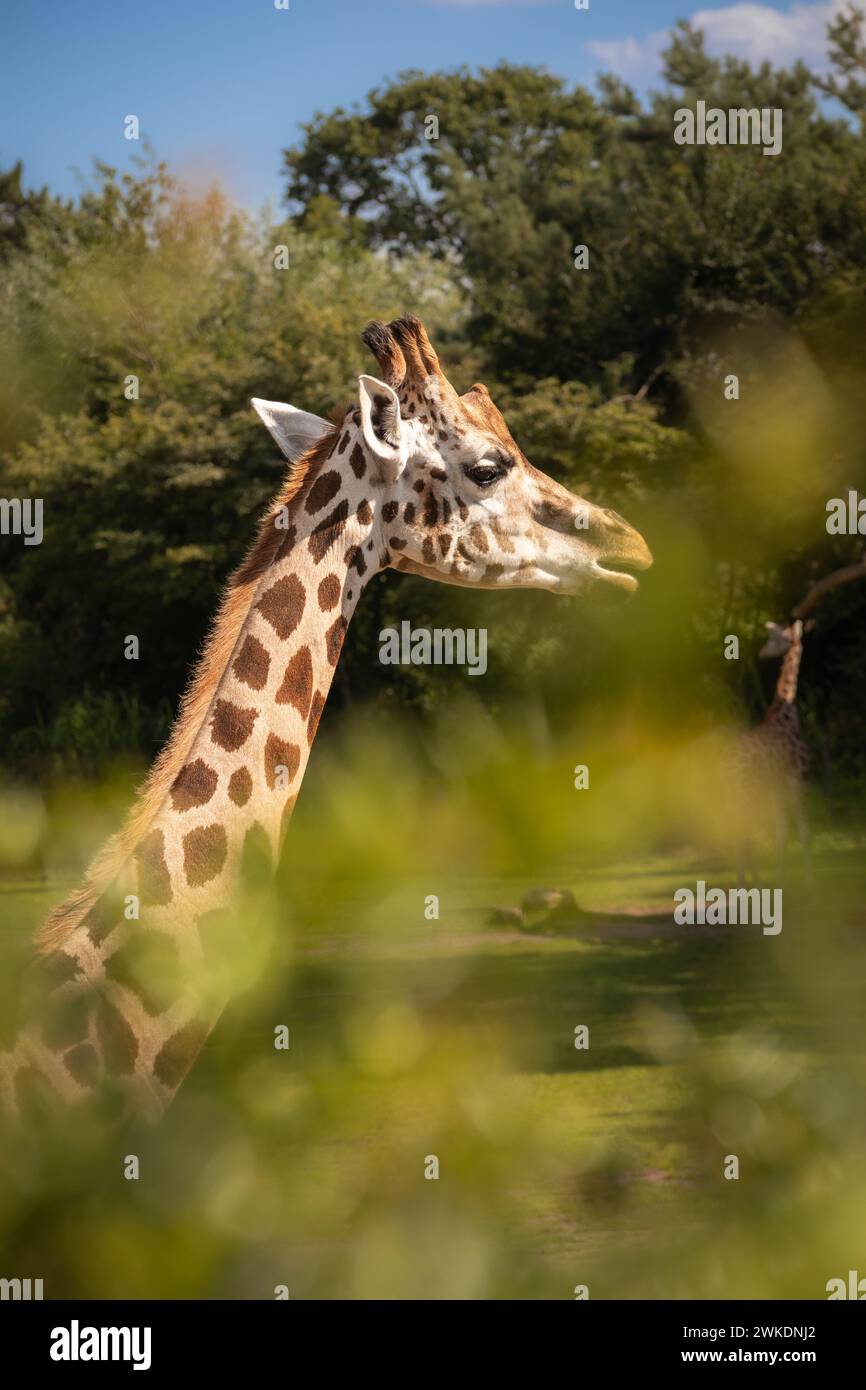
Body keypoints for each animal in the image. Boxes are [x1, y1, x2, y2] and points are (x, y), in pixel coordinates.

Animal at [733, 618, 811, 883]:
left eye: (776, 637)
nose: (761, 653)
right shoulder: (798, 777)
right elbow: (802, 830)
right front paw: (811, 884)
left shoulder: (775, 786)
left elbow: (781, 833)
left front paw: (781, 880)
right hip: (746, 791)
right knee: (742, 834)